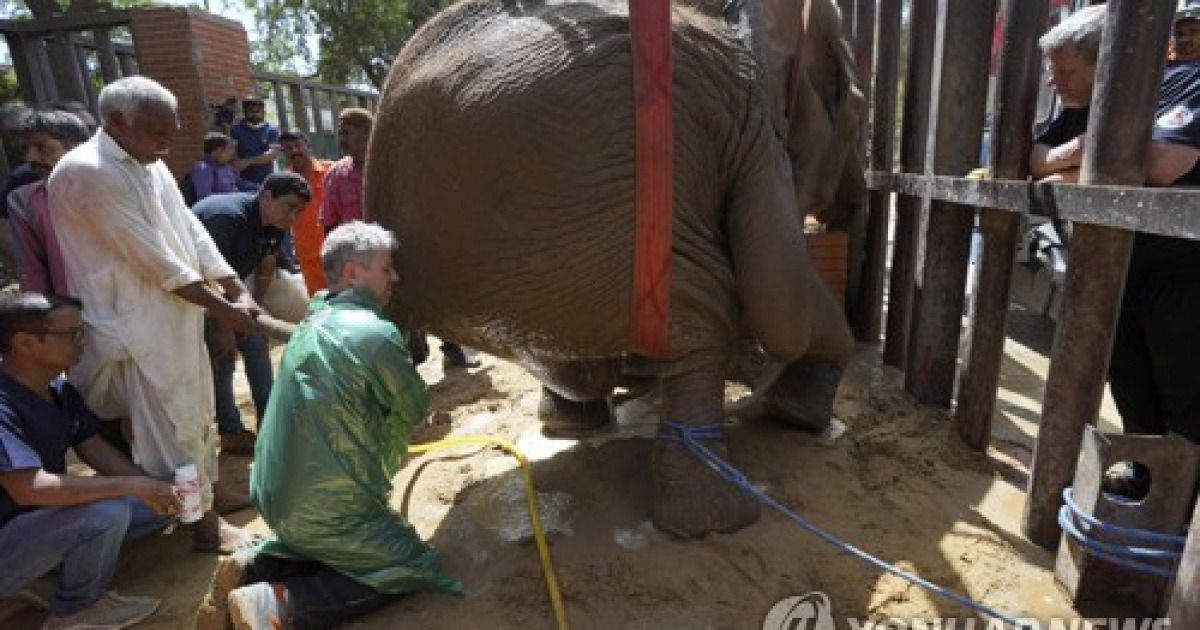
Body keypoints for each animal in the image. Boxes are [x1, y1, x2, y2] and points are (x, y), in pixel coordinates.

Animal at [366, 0, 866, 538]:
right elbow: (782, 305)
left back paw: (577, 420)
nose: (847, 209)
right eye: (857, 112)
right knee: (703, 318)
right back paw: (716, 517)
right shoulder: (753, 125)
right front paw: (795, 415)